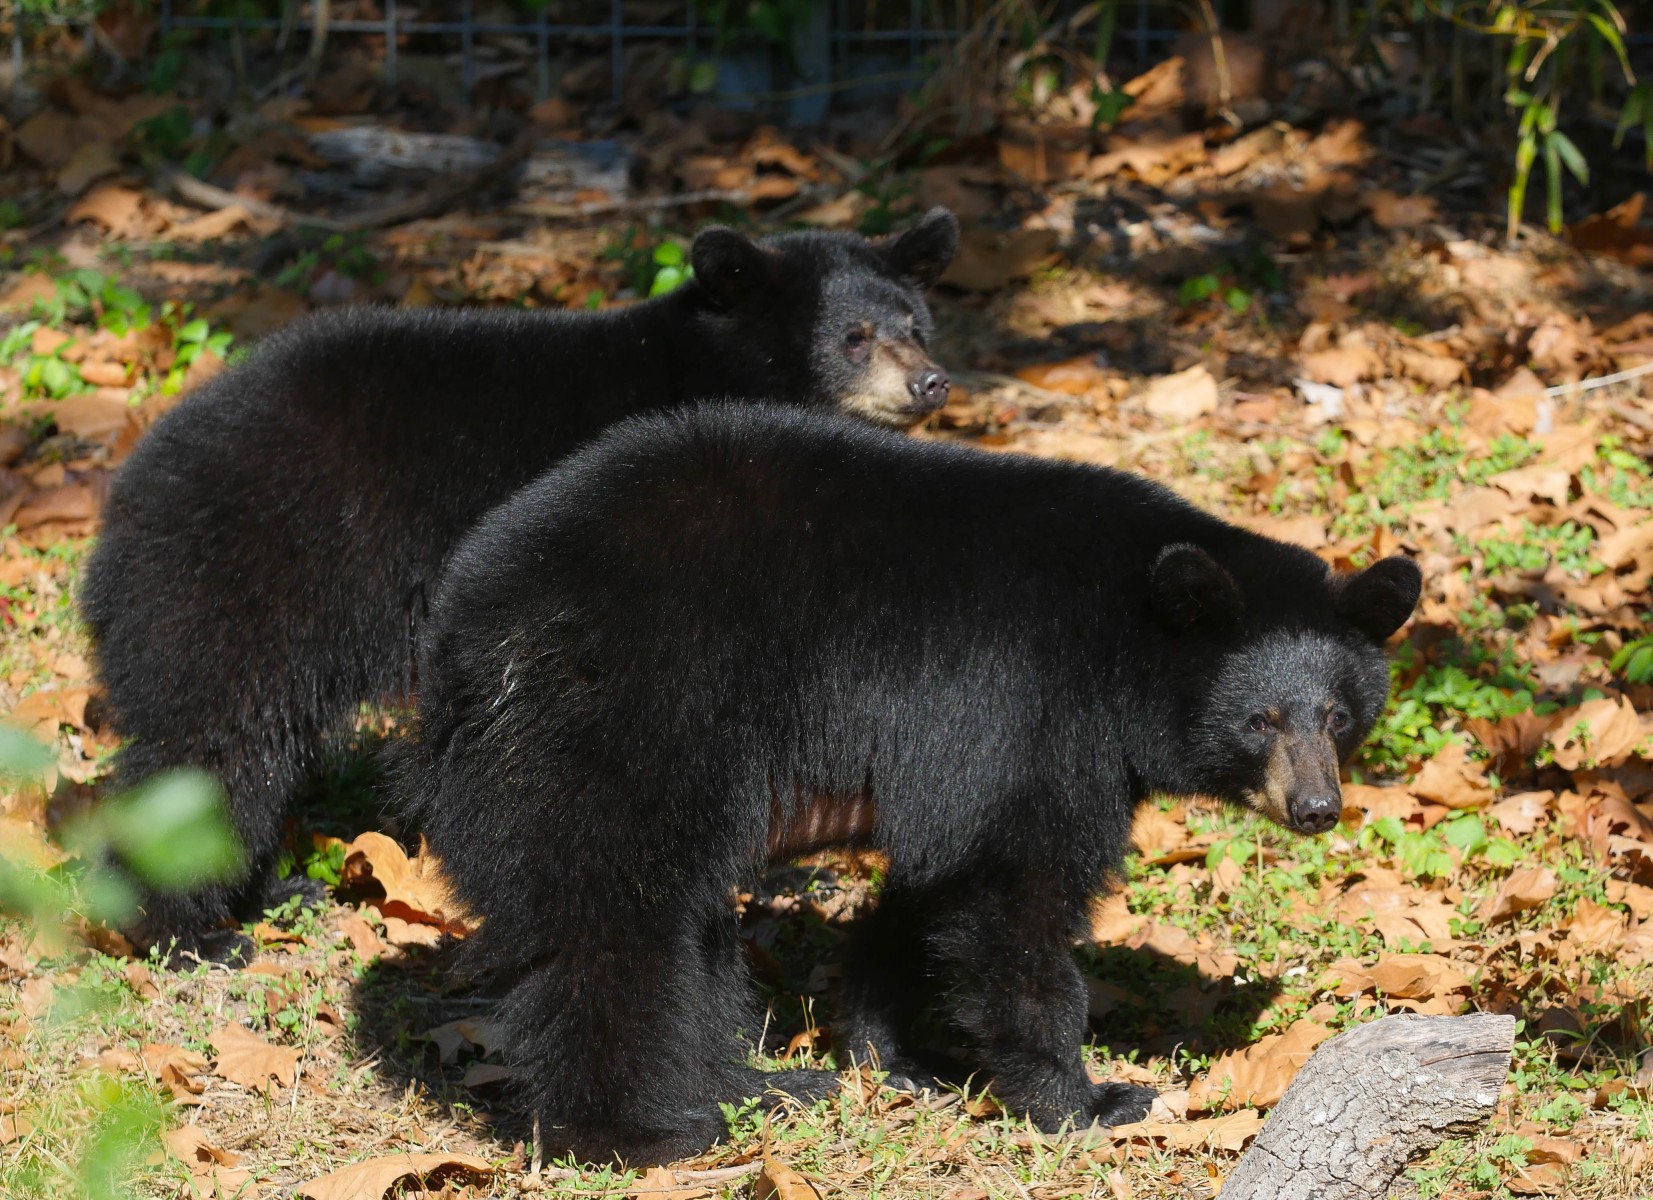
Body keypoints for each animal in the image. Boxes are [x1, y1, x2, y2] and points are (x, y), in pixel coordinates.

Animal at [79, 210, 959, 958]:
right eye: (854, 338)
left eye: (915, 326)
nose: (932, 382)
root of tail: (128, 501)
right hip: (248, 580)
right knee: (215, 744)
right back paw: (189, 936)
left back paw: (273, 892)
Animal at [389, 401, 1423, 1166]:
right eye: (1260, 721)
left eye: (1337, 716)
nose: (1316, 808)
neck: (1126, 642)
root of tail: (460, 632)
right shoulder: (1031, 708)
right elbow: (1019, 896)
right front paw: (1087, 1099)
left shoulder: (961, 759)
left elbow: (936, 883)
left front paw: (893, 1056)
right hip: (626, 719)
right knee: (616, 920)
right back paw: (643, 1134)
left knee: (687, 933)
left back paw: (764, 1087)